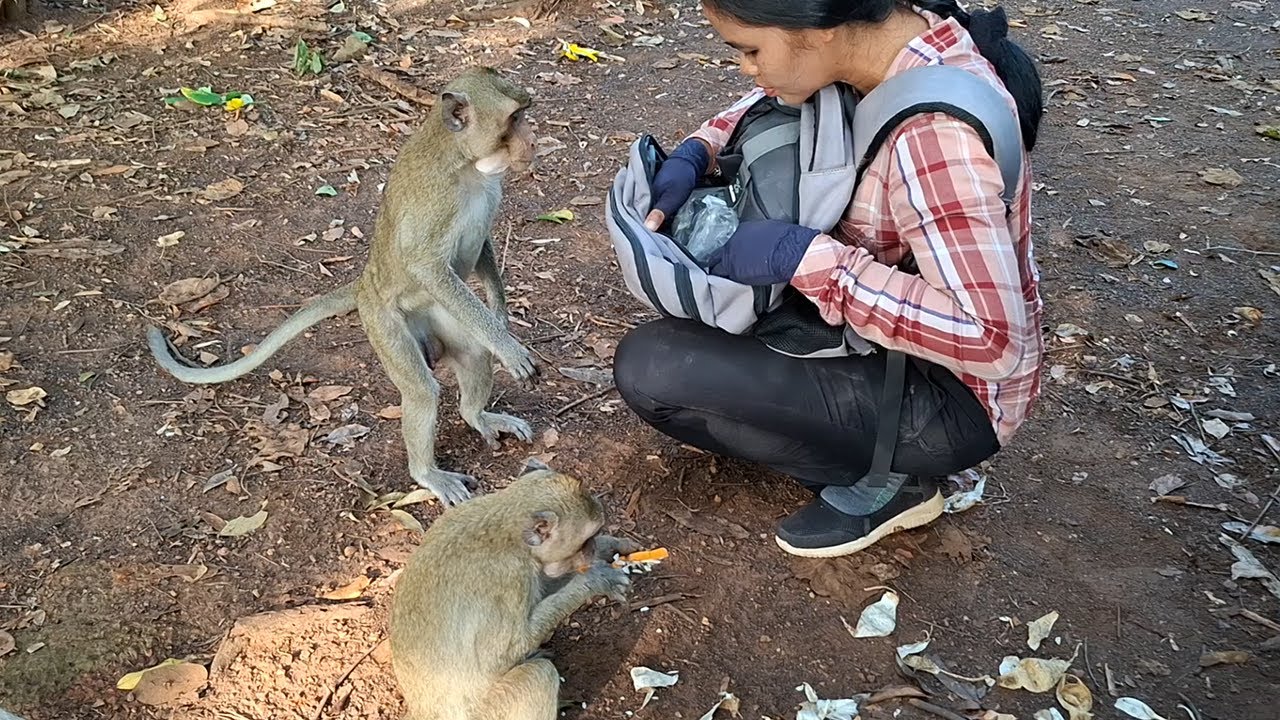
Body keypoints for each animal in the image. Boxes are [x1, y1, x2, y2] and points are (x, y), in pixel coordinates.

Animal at [147, 66, 540, 505]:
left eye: (524, 113)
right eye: (514, 119)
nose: (532, 139)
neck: (465, 163)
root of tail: (364, 283)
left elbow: (482, 247)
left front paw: (499, 314)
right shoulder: (436, 203)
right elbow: (427, 264)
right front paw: (508, 346)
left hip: (441, 314)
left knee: (471, 354)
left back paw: (477, 416)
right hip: (382, 321)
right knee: (421, 391)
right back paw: (427, 472)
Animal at [388, 461, 637, 720]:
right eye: (586, 540)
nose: (591, 550)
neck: (505, 529)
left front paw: (608, 547)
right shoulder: (510, 577)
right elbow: (506, 651)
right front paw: (596, 580)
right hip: (486, 713)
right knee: (540, 675)